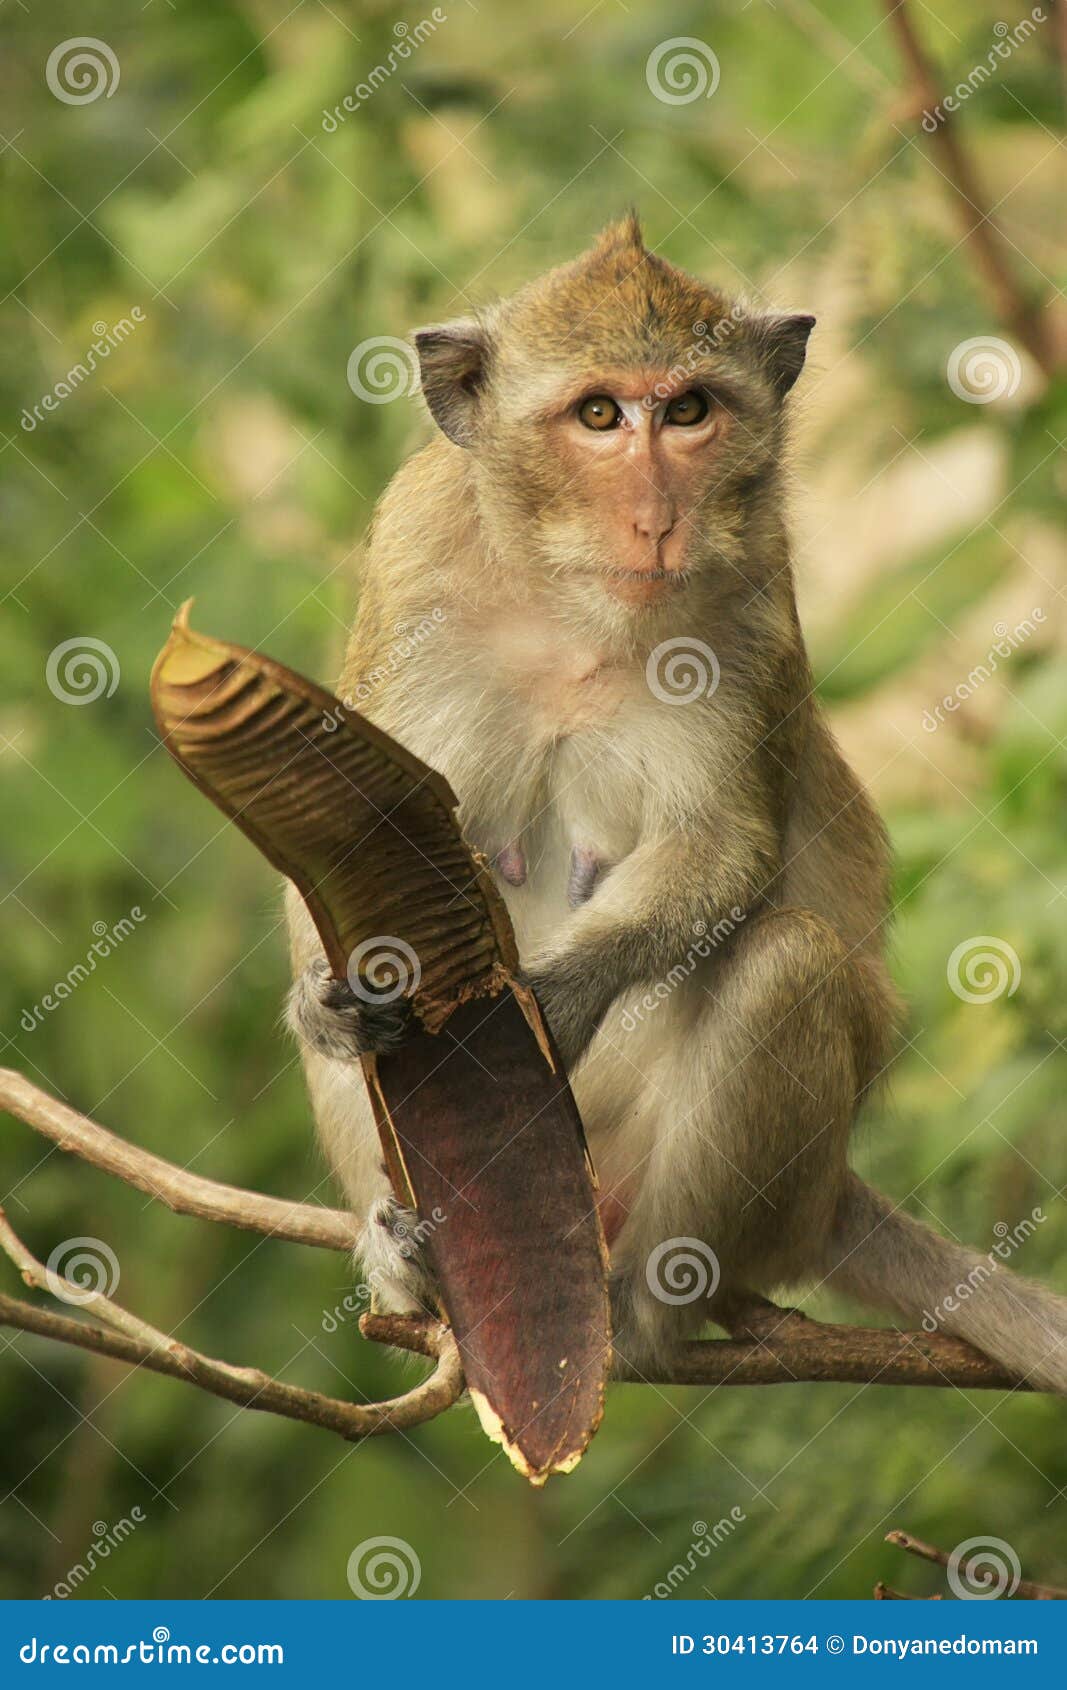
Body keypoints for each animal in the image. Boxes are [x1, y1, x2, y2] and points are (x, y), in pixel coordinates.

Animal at [286, 215, 1067, 1393]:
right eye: (599, 415)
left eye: (690, 409)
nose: (657, 517)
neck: (568, 603)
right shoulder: (411, 559)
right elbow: (347, 836)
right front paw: (323, 1002)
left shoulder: (750, 601)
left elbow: (723, 845)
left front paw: (552, 998)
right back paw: (408, 1259)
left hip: (765, 1202)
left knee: (784, 963)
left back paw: (649, 1309)